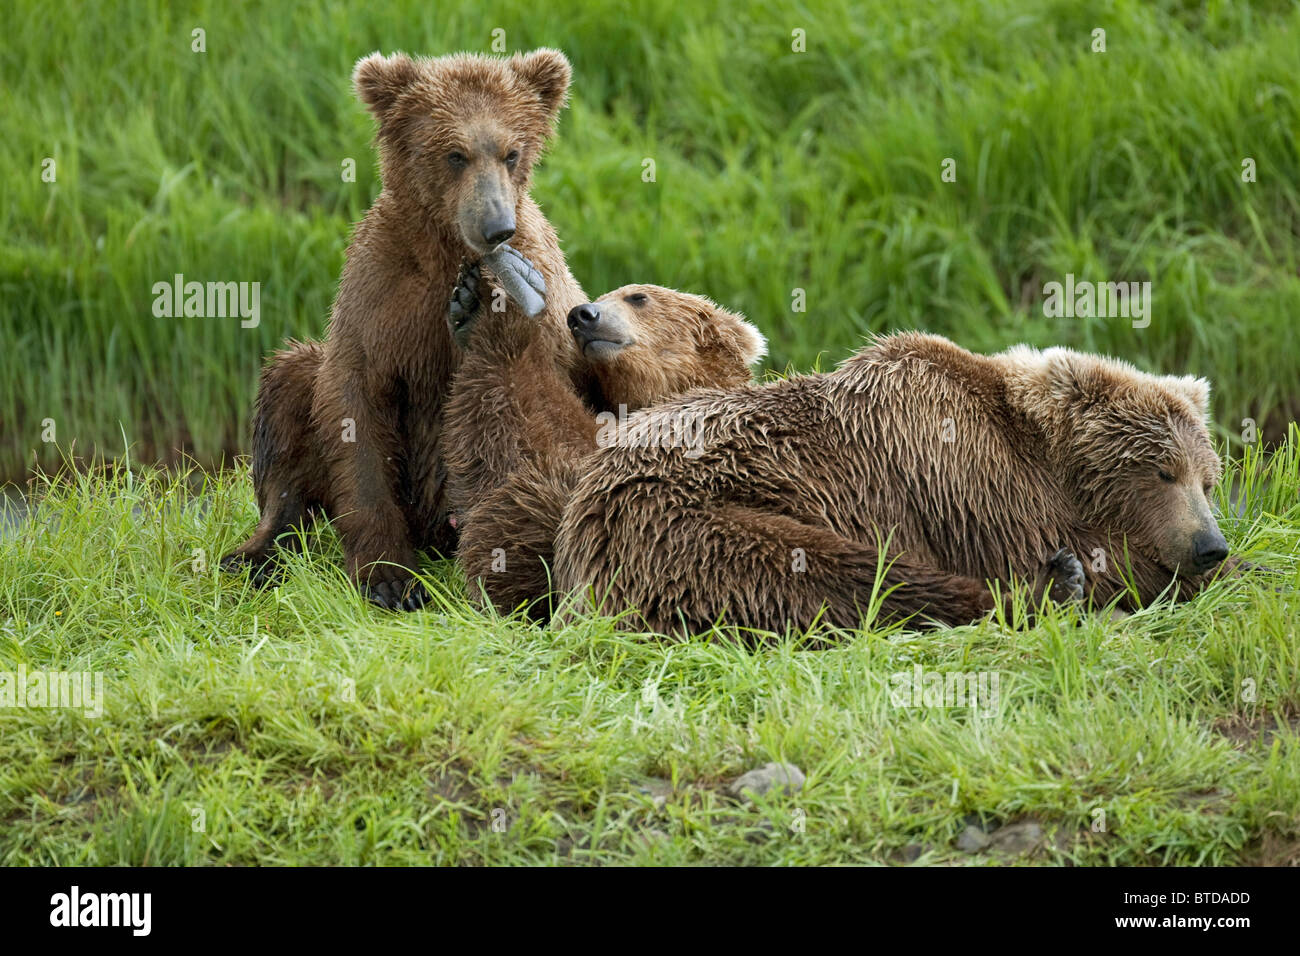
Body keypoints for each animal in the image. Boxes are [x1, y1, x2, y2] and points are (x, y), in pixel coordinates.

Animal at [219, 49, 592, 609]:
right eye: (454, 154)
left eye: (512, 152)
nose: (496, 227)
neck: (447, 254)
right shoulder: (380, 291)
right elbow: (353, 405)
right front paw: (390, 578)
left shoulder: (550, 299)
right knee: (291, 386)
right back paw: (255, 550)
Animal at [548, 332, 1237, 636]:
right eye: (1162, 472)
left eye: (1208, 480)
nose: (1210, 546)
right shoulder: (961, 475)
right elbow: (1043, 546)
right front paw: (1093, 571)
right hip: (696, 518)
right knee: (853, 575)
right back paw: (1043, 591)